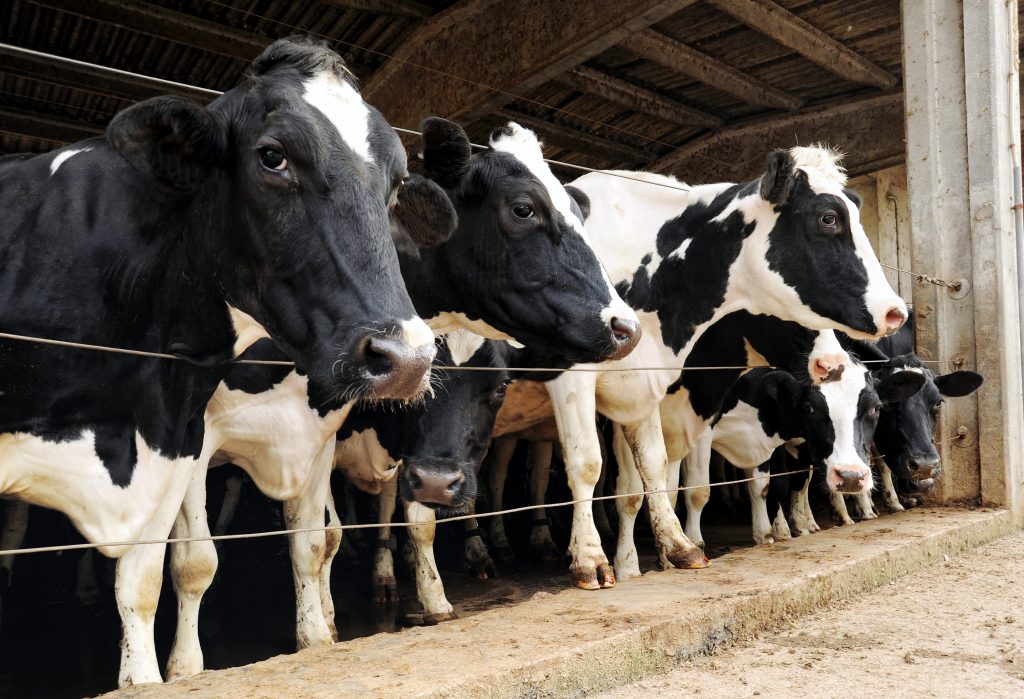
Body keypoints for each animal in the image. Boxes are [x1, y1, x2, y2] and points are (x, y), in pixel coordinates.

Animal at [0, 37, 452, 686]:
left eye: (395, 184)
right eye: (271, 157)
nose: (407, 358)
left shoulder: (190, 442)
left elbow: (158, 581)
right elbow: (193, 563)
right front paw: (186, 668)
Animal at [505, 149, 907, 589]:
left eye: (873, 409)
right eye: (828, 218)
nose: (896, 312)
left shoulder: (660, 393)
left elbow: (666, 475)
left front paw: (677, 549)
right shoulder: (578, 379)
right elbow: (599, 472)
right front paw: (605, 563)